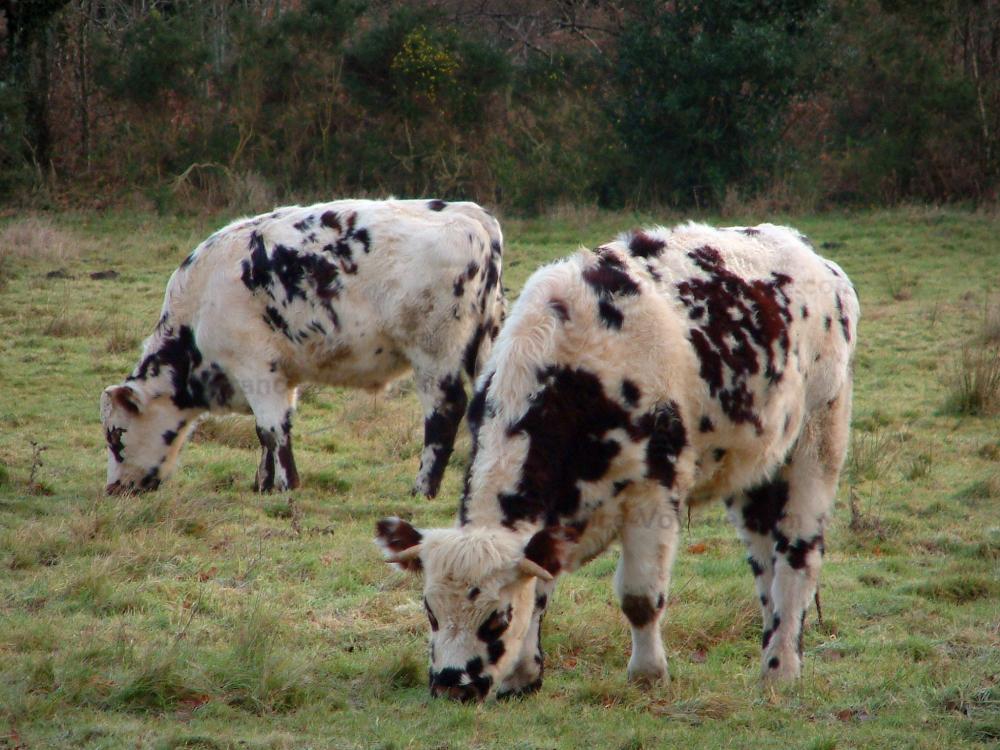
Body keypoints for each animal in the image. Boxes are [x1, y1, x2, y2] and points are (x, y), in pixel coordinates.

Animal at [101, 198, 505, 497]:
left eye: (117, 438)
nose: (115, 488)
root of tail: (467, 214)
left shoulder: (255, 369)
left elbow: (272, 428)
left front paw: (285, 485)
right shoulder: (281, 374)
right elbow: (269, 431)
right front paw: (263, 483)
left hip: (434, 355)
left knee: (444, 412)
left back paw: (423, 489)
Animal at [375, 222, 859, 702]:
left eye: (497, 617)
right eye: (431, 611)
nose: (450, 685)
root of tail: (812, 255)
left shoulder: (654, 495)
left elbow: (640, 597)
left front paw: (648, 674)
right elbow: (540, 585)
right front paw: (523, 675)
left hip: (818, 437)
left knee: (797, 555)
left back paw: (781, 668)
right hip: (752, 468)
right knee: (765, 565)